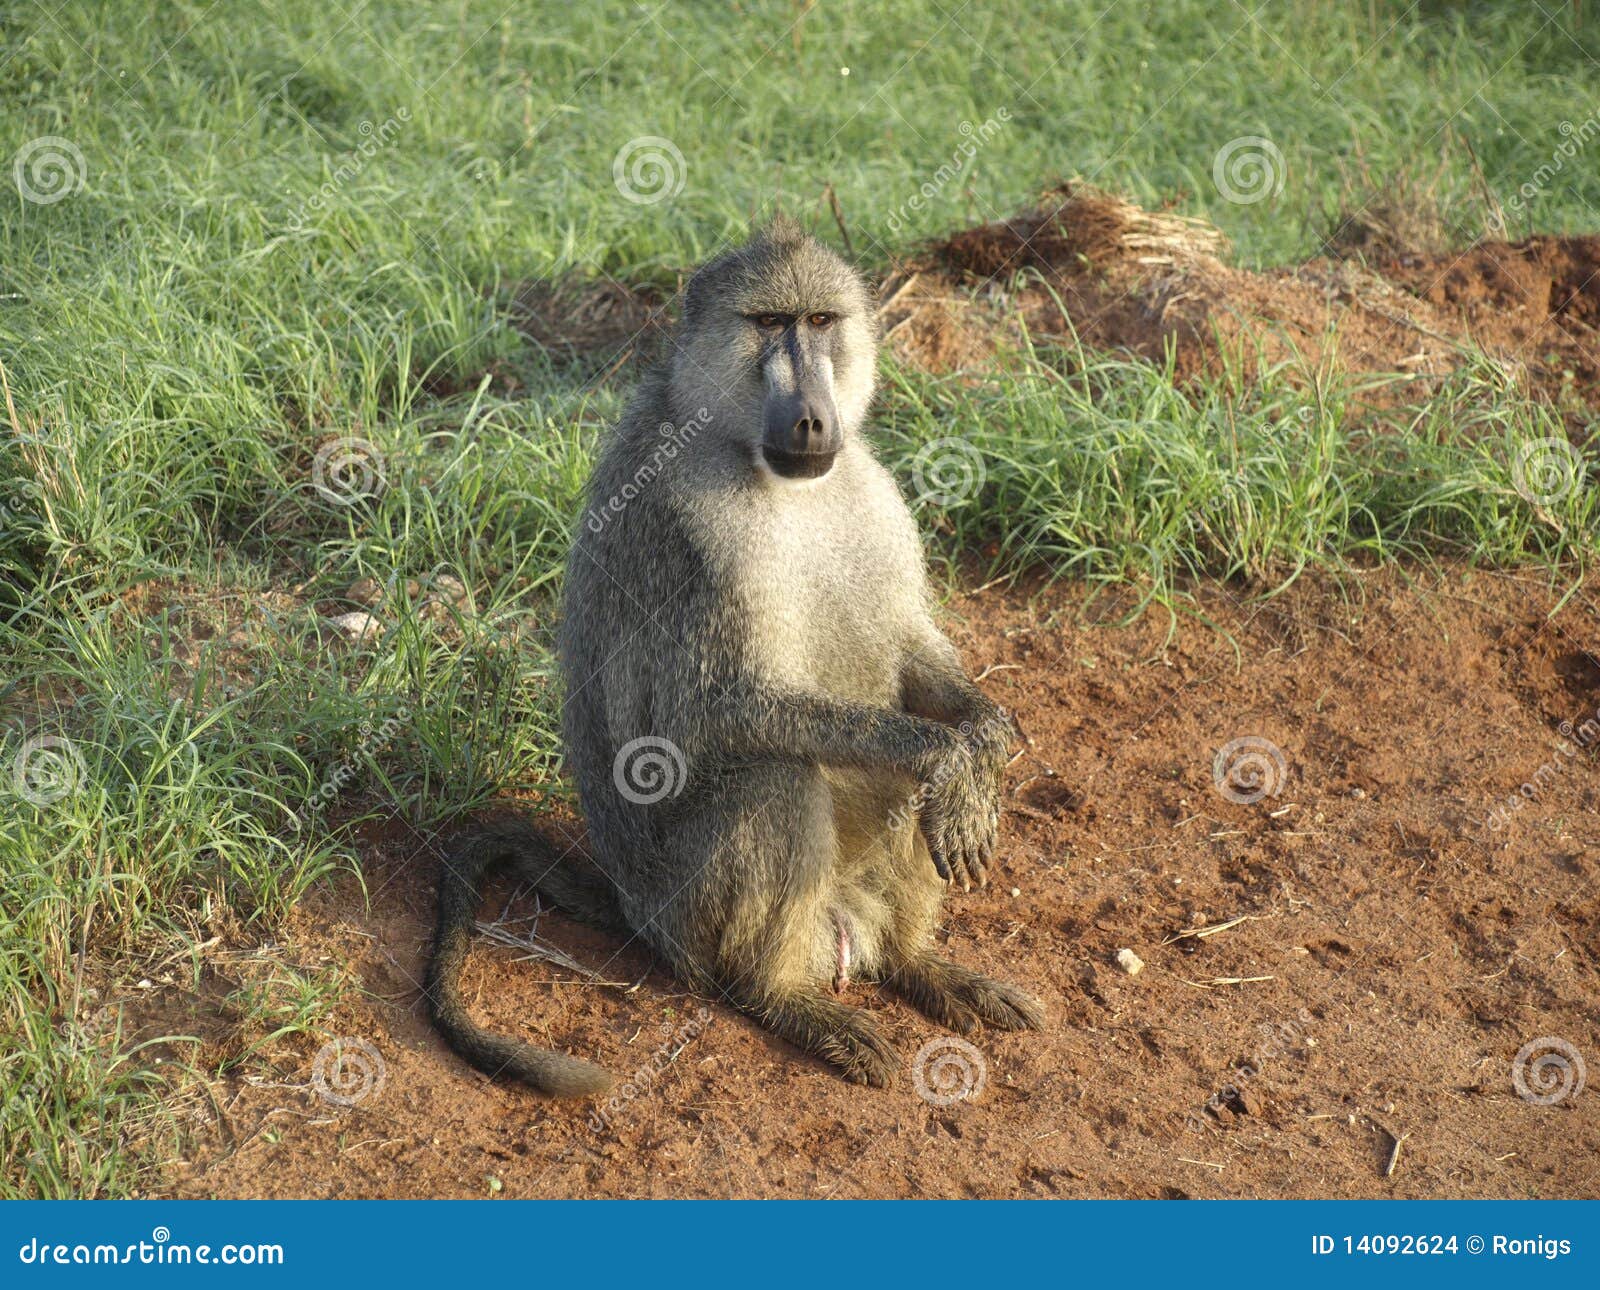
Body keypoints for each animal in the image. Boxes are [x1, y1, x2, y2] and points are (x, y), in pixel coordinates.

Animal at [426, 217, 1043, 1096]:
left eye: (820, 321)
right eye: (767, 324)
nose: (814, 419)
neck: (740, 446)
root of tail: (636, 909)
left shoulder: (871, 493)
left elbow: (910, 655)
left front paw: (984, 741)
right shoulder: (689, 524)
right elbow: (715, 711)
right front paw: (950, 759)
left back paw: (919, 964)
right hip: (690, 917)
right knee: (775, 774)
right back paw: (782, 996)